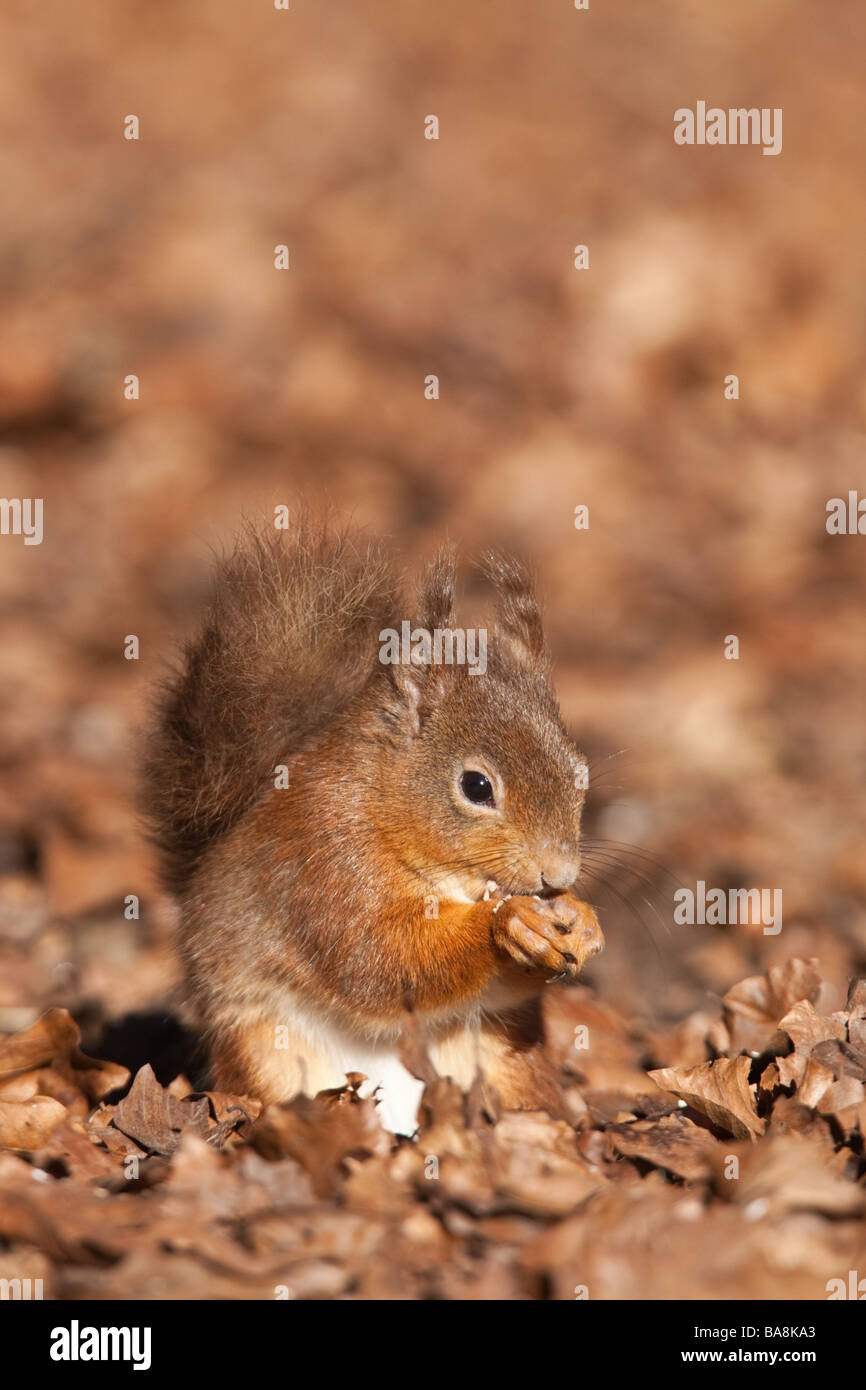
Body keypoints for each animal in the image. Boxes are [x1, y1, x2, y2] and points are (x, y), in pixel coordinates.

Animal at [144, 520, 603, 1134]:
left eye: (580, 769)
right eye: (476, 786)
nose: (560, 874)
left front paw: (582, 920)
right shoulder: (327, 862)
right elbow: (377, 959)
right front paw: (508, 923)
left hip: (507, 1055)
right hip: (263, 1047)